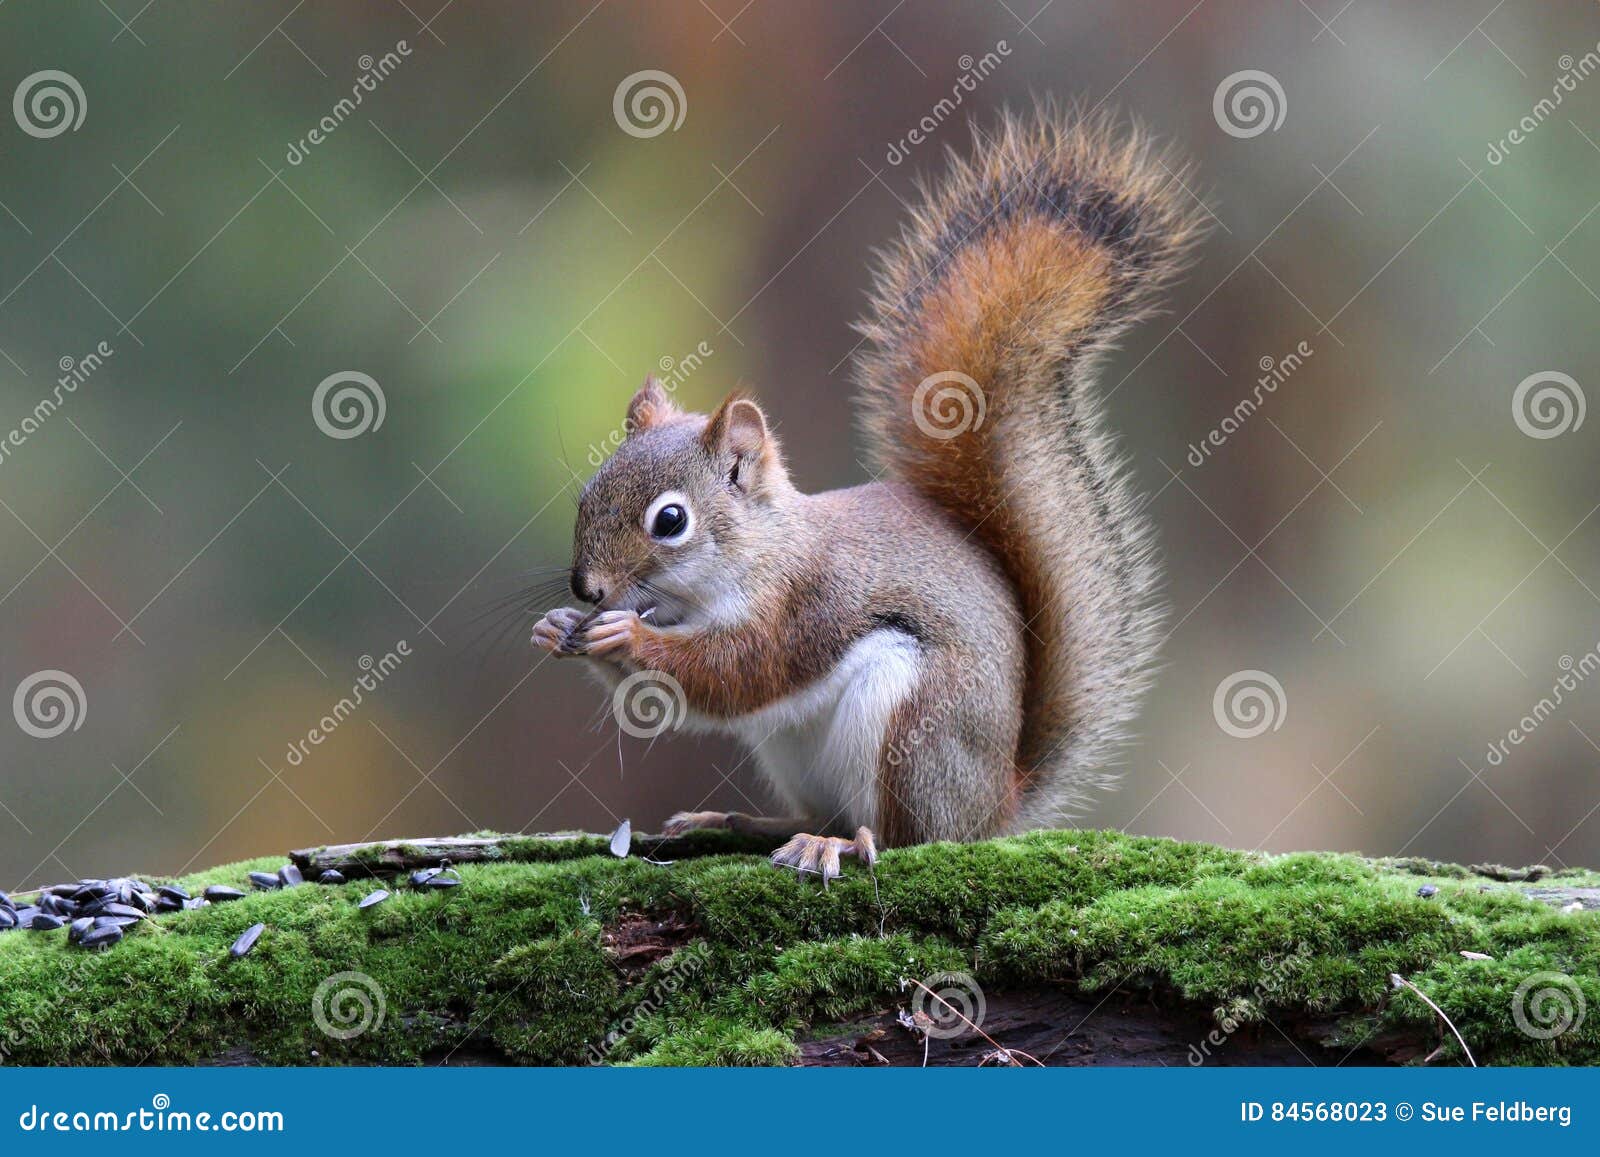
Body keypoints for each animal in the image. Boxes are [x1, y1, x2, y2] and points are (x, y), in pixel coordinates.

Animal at [533, 108, 1205, 881]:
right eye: (587, 493)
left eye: (670, 520)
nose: (587, 589)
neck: (744, 562)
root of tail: (994, 806)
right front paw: (557, 627)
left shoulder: (806, 603)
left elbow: (738, 672)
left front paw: (628, 636)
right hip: (792, 750)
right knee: (816, 809)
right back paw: (741, 820)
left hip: (910, 725)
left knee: (903, 835)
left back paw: (841, 844)